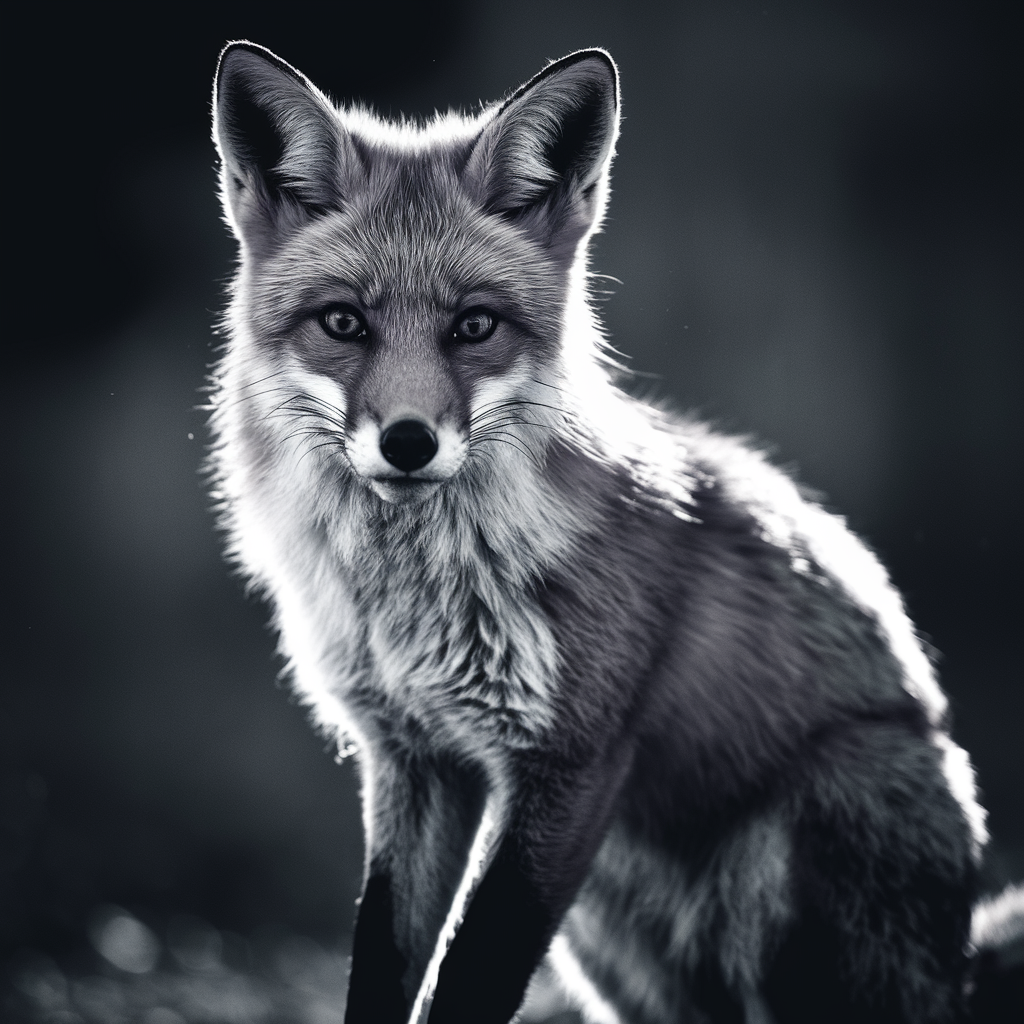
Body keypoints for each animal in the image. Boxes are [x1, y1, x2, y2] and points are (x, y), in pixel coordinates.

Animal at [208, 41, 1006, 1024]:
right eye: (343, 323)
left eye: (474, 325)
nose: (408, 442)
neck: (413, 598)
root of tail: (960, 967)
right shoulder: (412, 760)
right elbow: (381, 966)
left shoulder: (569, 763)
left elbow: (471, 974)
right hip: (606, 934)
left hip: (793, 837)